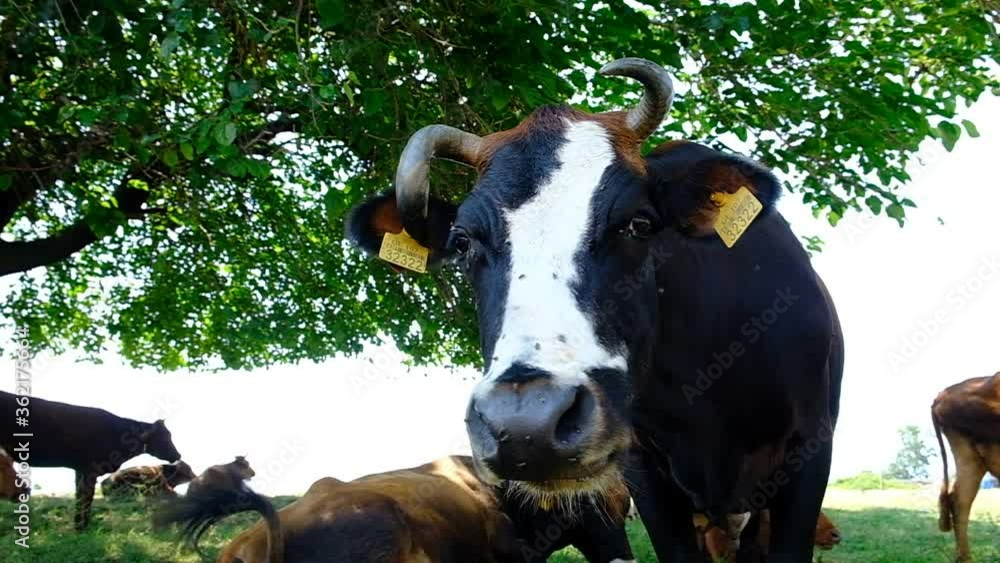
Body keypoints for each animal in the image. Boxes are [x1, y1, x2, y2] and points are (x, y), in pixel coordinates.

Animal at [0, 390, 182, 529]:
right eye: (165, 437)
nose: (178, 455)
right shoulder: (90, 469)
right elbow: (86, 498)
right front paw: (82, 527)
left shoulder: (80, 469)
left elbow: (80, 497)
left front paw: (79, 525)